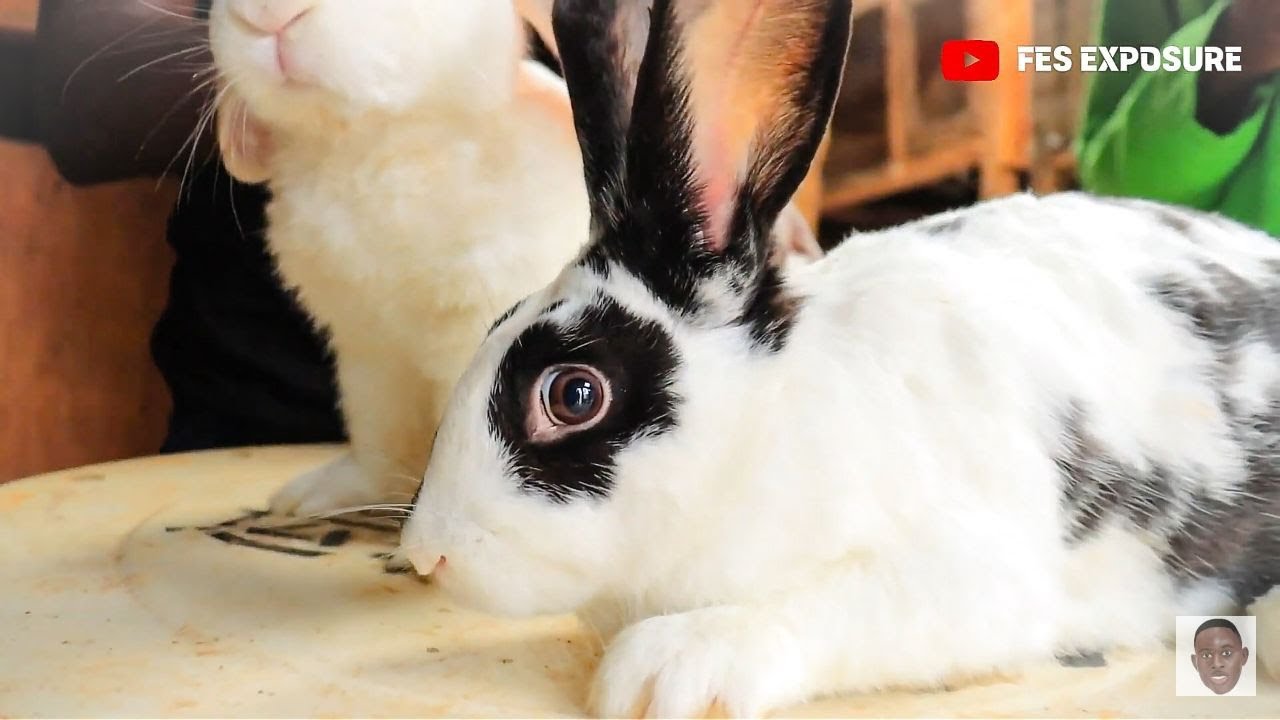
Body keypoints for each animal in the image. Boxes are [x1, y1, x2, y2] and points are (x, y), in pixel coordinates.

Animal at [399, 0, 1280, 716]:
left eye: (573, 394)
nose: (424, 555)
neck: (764, 422)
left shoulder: (962, 571)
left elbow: (821, 610)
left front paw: (664, 671)